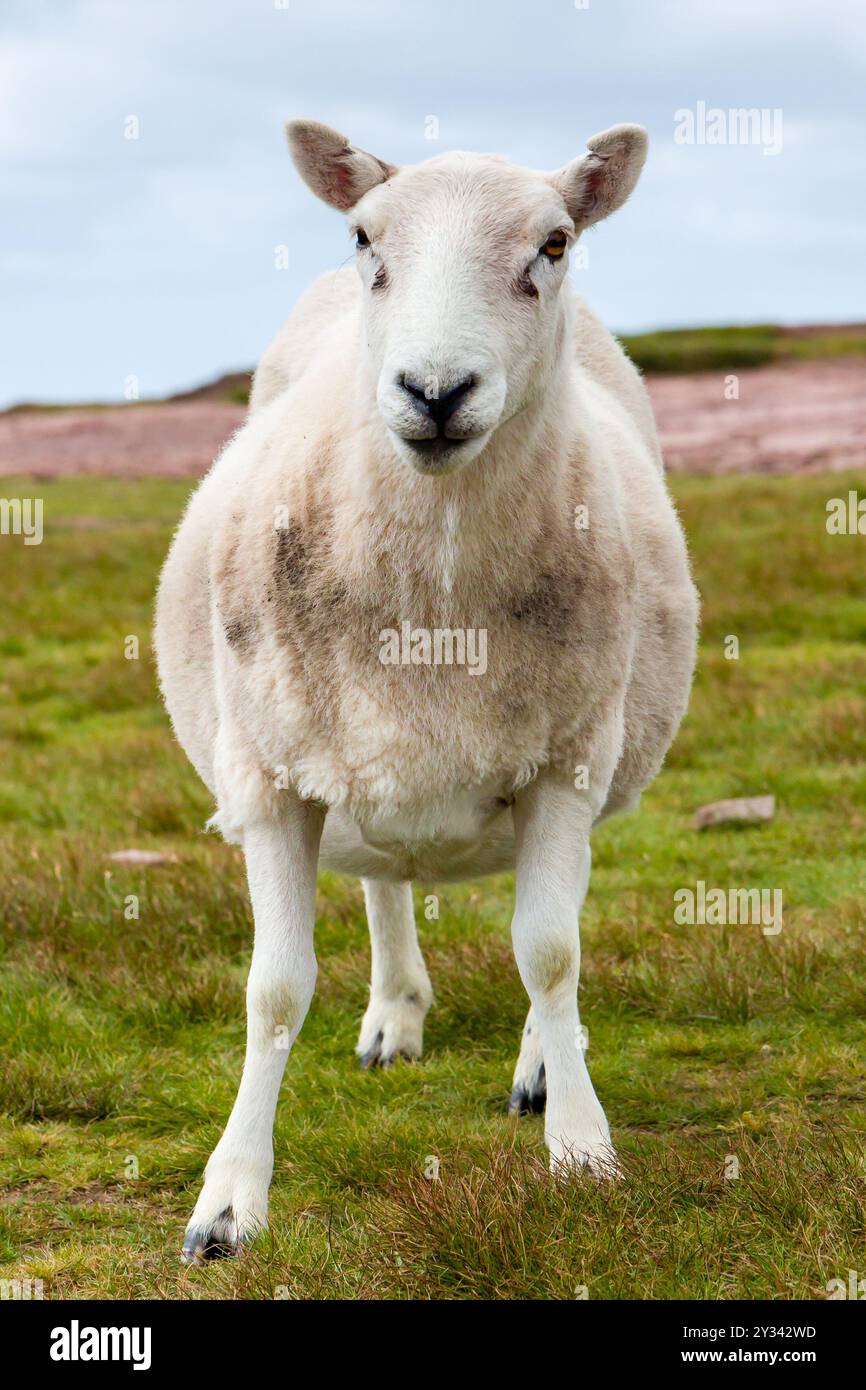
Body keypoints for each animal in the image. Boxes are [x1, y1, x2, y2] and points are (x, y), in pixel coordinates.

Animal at [155, 119, 699, 1263]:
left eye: (554, 243)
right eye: (364, 236)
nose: (434, 391)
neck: (434, 600)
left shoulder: (563, 766)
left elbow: (549, 953)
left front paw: (581, 1146)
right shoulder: (268, 776)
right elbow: (273, 990)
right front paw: (228, 1200)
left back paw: (536, 1065)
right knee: (383, 878)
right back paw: (395, 1012)